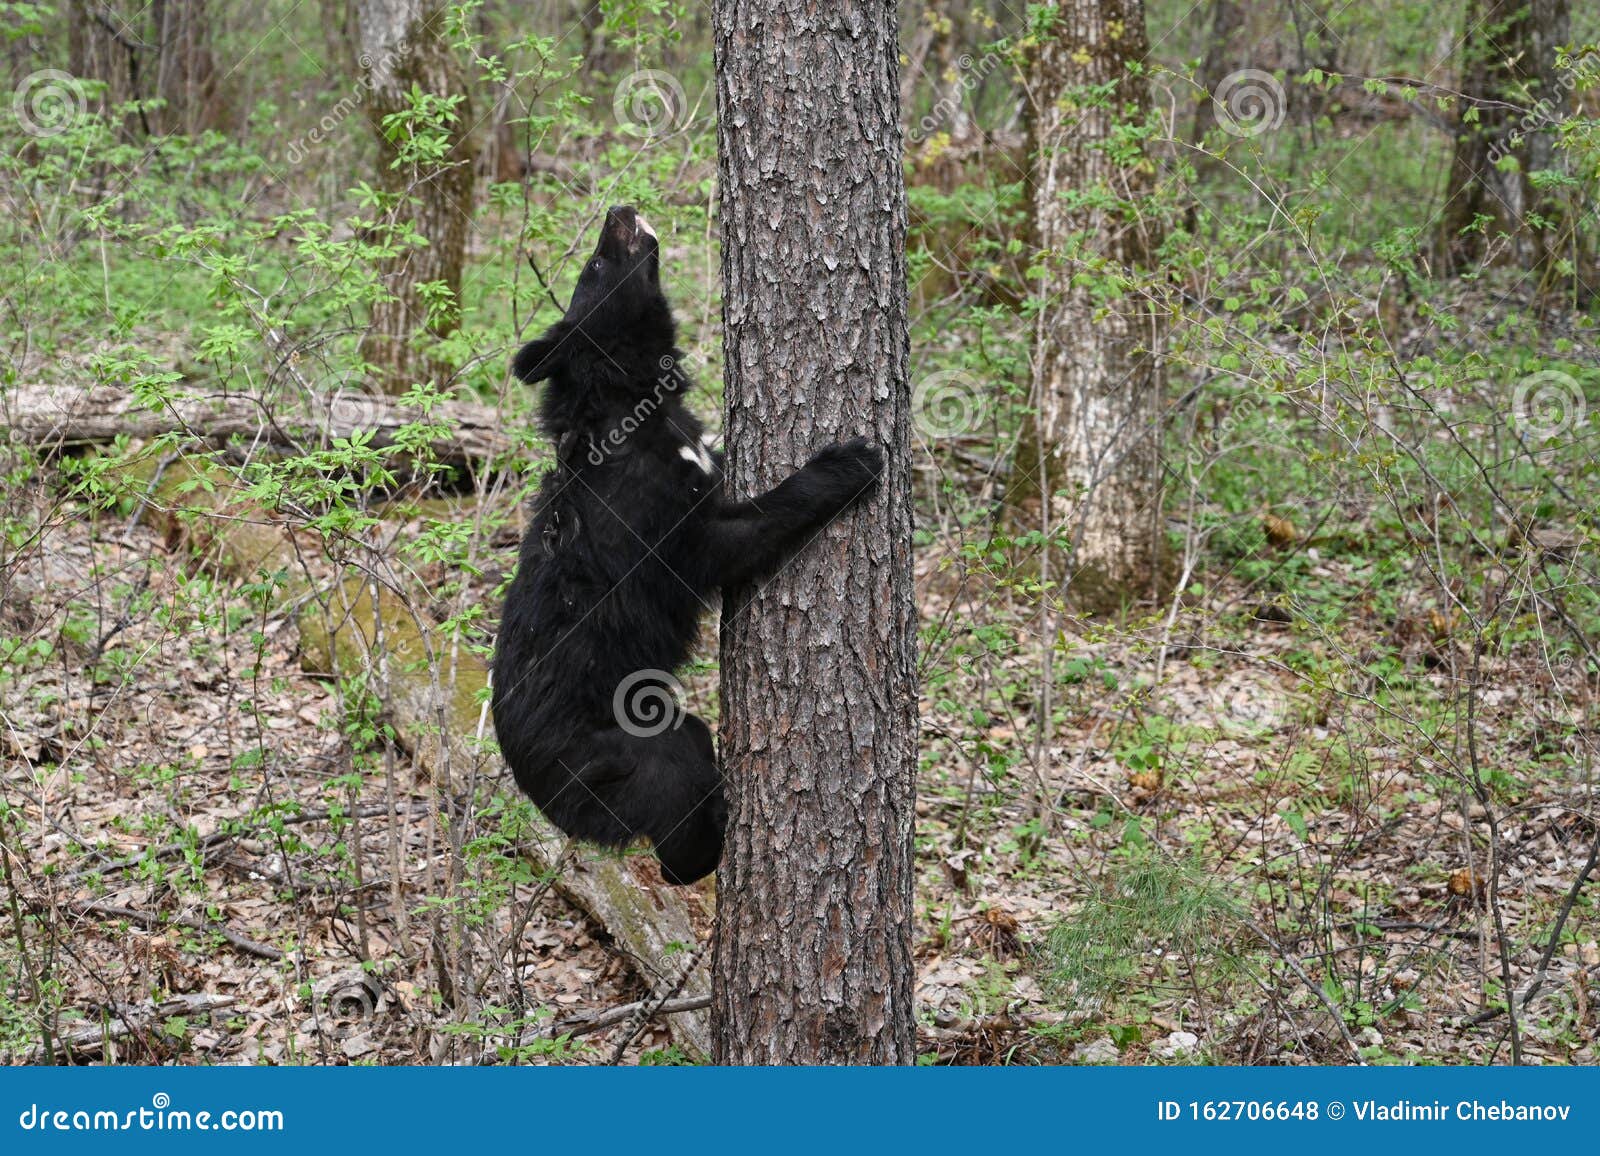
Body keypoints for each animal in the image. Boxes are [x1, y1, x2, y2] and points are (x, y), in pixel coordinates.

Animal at [492, 205, 883, 885]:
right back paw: (714, 836)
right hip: (635, 750)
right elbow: (740, 532)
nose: (619, 209)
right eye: (599, 263)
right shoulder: (660, 523)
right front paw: (849, 462)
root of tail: (532, 788)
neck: (631, 405)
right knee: (677, 817)